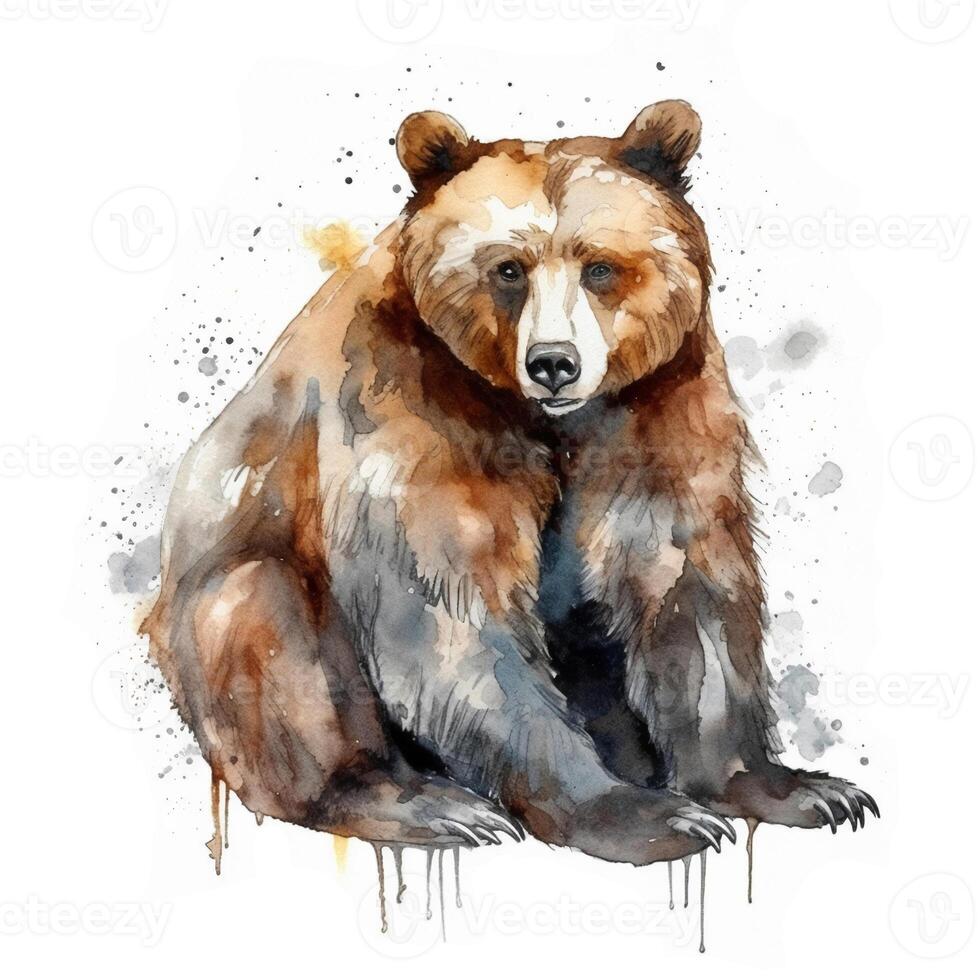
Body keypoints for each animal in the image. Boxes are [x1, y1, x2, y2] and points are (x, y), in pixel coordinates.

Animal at [142, 101, 878, 867]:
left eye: (600, 266)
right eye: (507, 268)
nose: (554, 362)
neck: (549, 421)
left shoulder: (659, 406)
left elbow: (684, 582)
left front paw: (790, 788)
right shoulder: (410, 408)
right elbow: (451, 611)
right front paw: (643, 813)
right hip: (222, 620)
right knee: (267, 619)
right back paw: (421, 801)